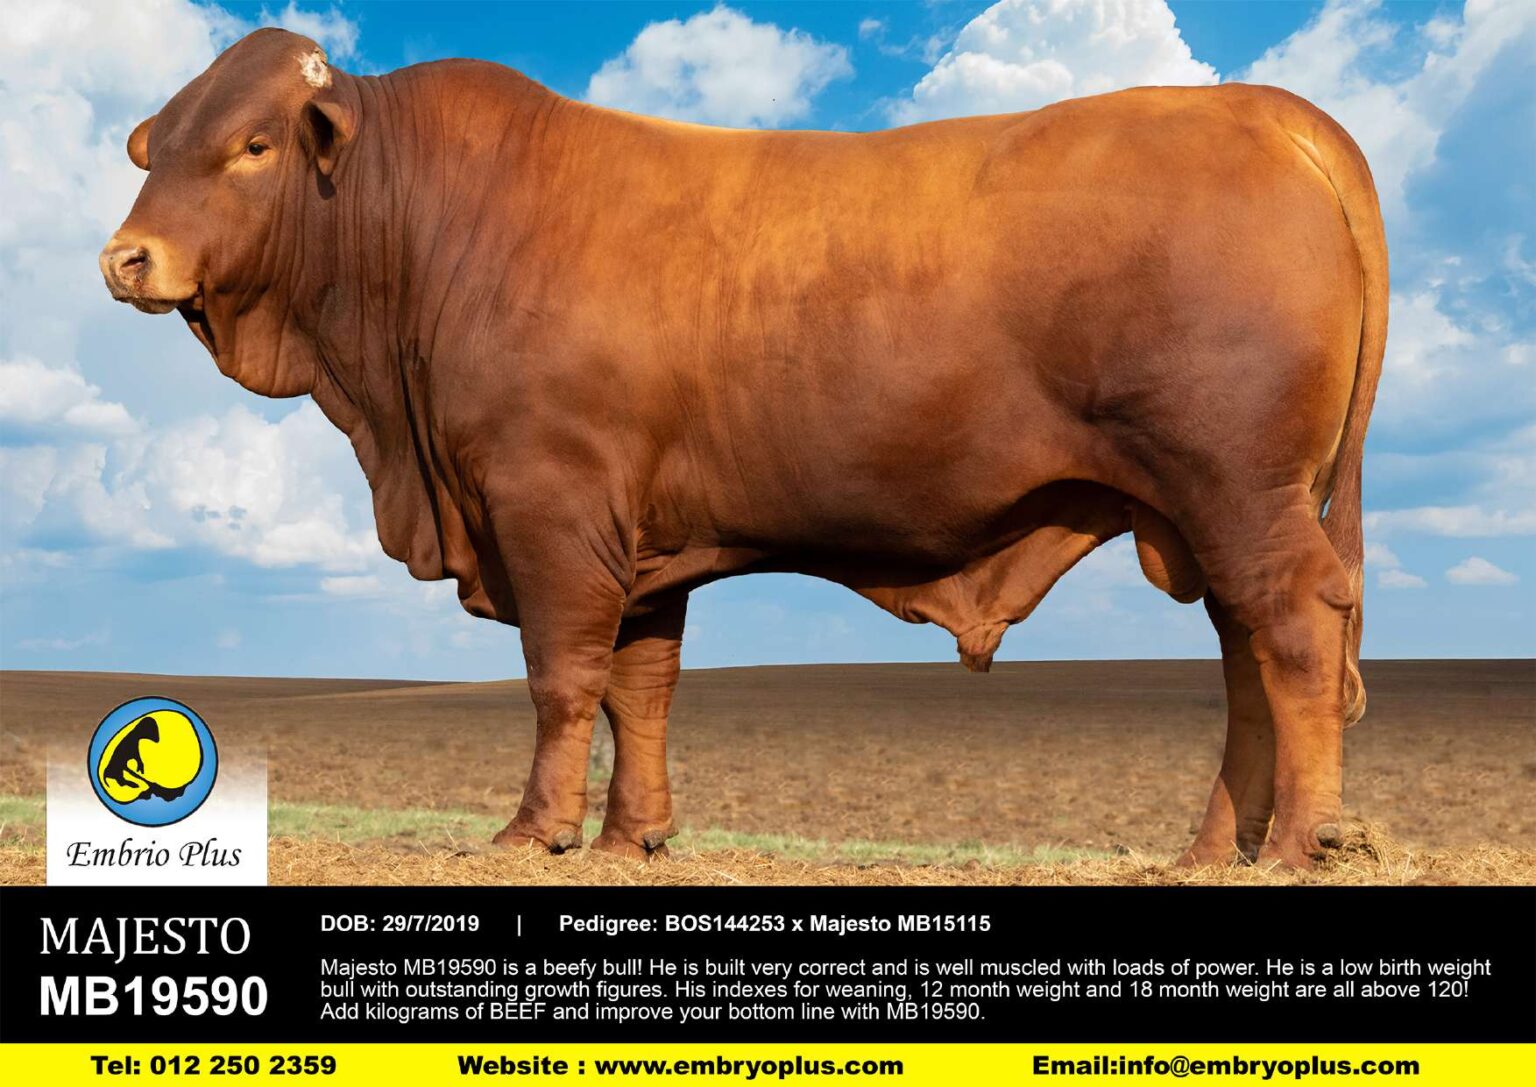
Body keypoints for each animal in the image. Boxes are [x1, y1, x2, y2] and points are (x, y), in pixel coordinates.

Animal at [101, 29, 1386, 869]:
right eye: (155, 148)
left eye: (254, 145)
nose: (126, 259)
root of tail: (1266, 110)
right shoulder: (640, 538)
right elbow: (641, 682)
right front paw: (634, 836)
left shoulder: (548, 503)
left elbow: (563, 675)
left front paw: (533, 831)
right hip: (1209, 508)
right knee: (1245, 653)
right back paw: (1212, 851)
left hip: (1239, 488)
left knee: (1295, 631)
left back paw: (1296, 845)